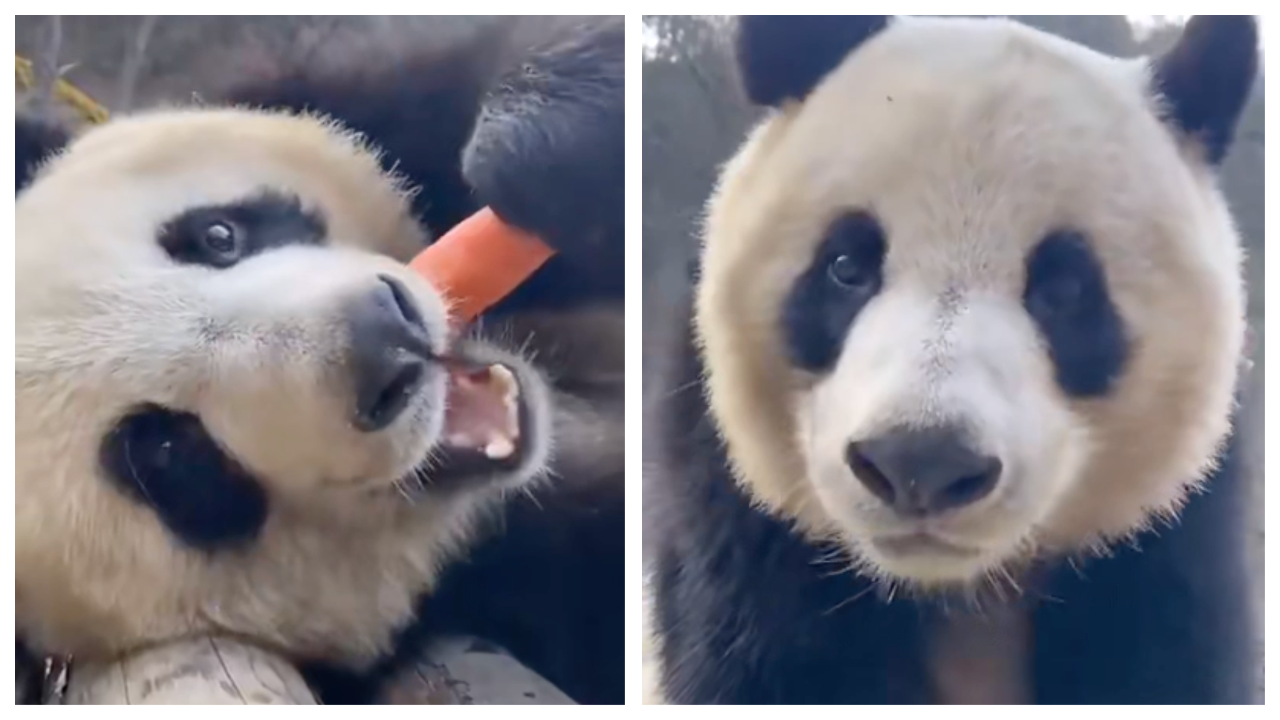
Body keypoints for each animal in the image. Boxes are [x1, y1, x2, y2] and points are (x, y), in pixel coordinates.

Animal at [645, 15, 1259, 704]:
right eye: (846, 266)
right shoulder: (741, 526)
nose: (921, 463)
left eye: (1066, 290)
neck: (954, 592)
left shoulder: (1170, 540)